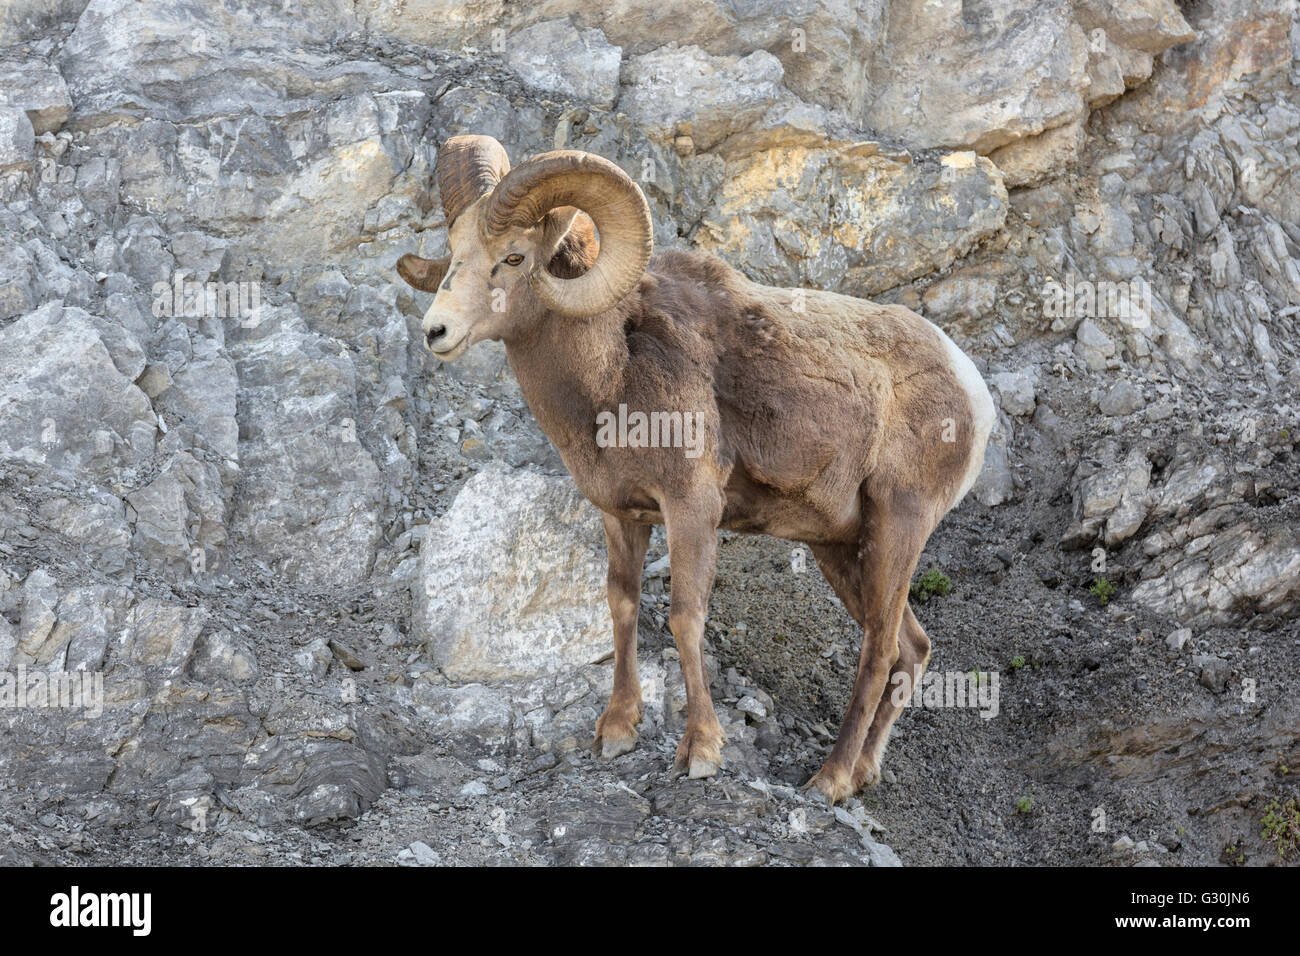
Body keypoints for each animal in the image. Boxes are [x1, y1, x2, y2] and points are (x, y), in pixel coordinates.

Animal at [396, 135, 995, 803]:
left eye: (514, 257)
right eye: (456, 254)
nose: (436, 331)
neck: (614, 375)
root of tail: (972, 391)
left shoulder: (692, 510)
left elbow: (686, 618)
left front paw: (701, 752)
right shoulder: (623, 515)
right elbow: (623, 605)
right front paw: (617, 731)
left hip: (898, 526)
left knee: (880, 649)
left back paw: (829, 780)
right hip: (840, 548)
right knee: (910, 649)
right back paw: (862, 773)